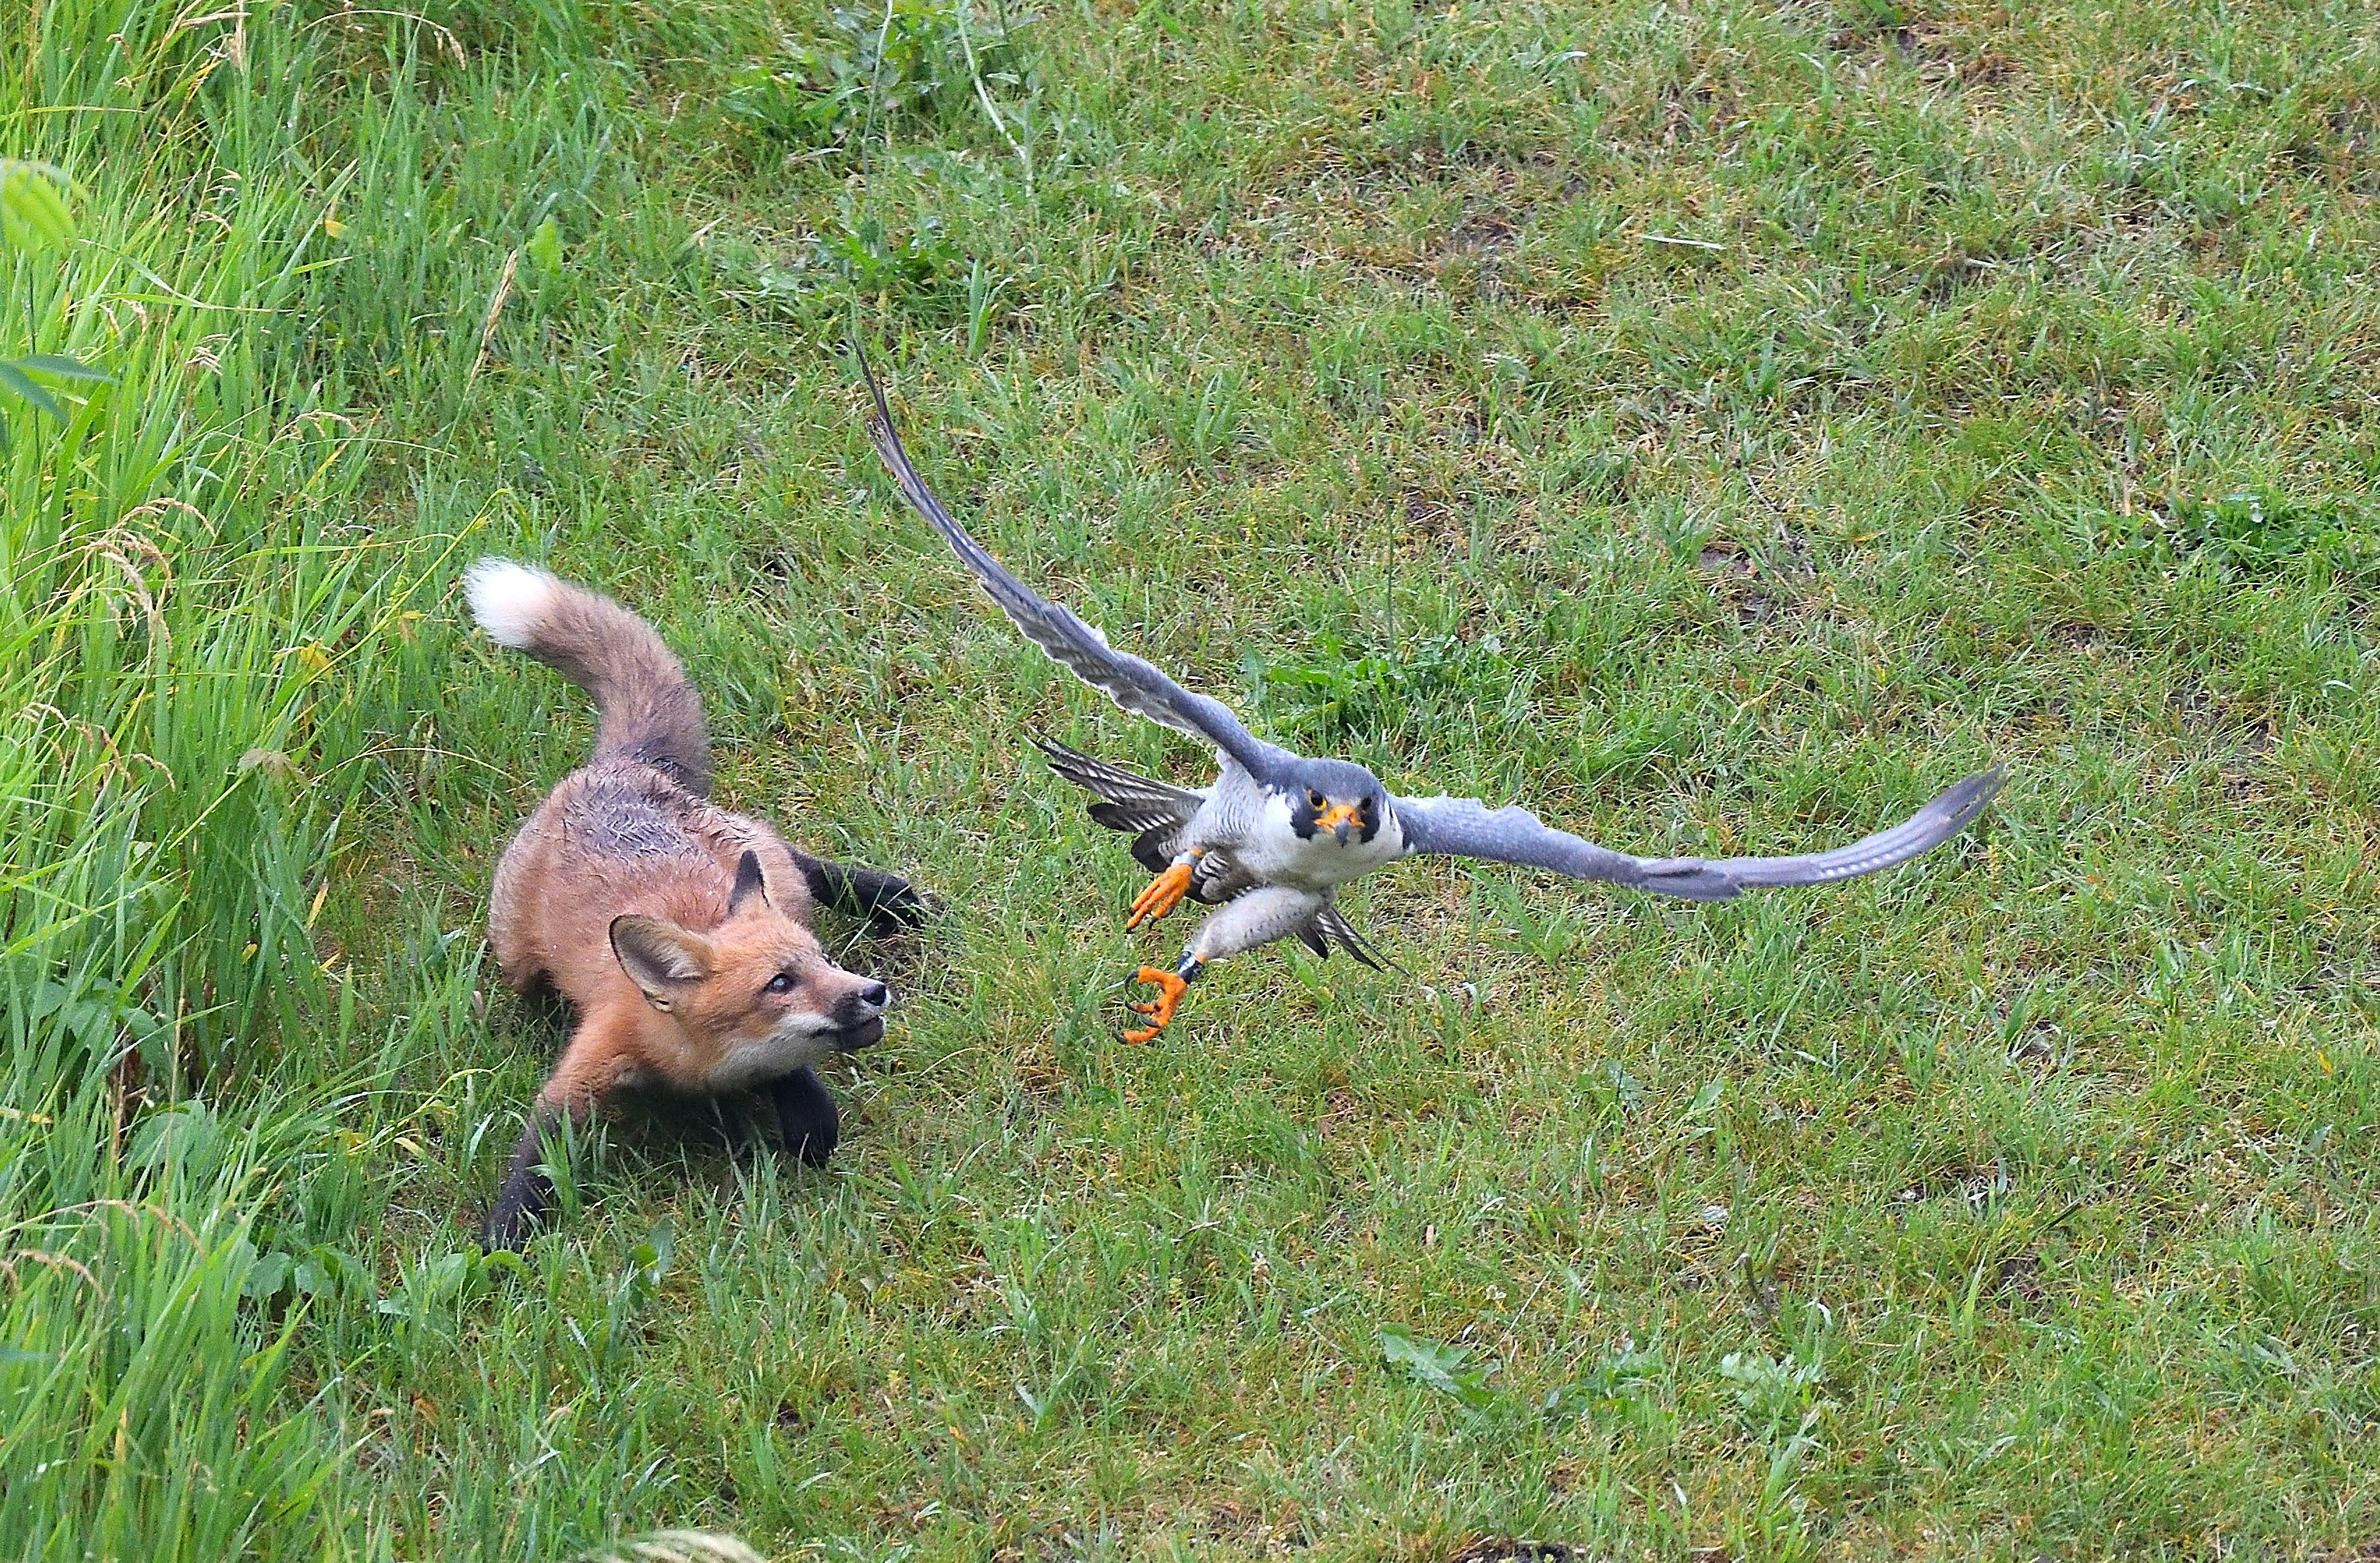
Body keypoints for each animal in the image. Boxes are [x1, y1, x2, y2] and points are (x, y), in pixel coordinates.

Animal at [463, 558, 926, 1250]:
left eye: (823, 963)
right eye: (780, 983)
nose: (872, 992)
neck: (692, 1068)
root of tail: (619, 767)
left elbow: (808, 1103)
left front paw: (808, 1124)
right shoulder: (589, 1064)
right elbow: (536, 1161)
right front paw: (501, 1244)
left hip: (761, 865)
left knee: (790, 857)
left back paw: (890, 897)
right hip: (516, 957)